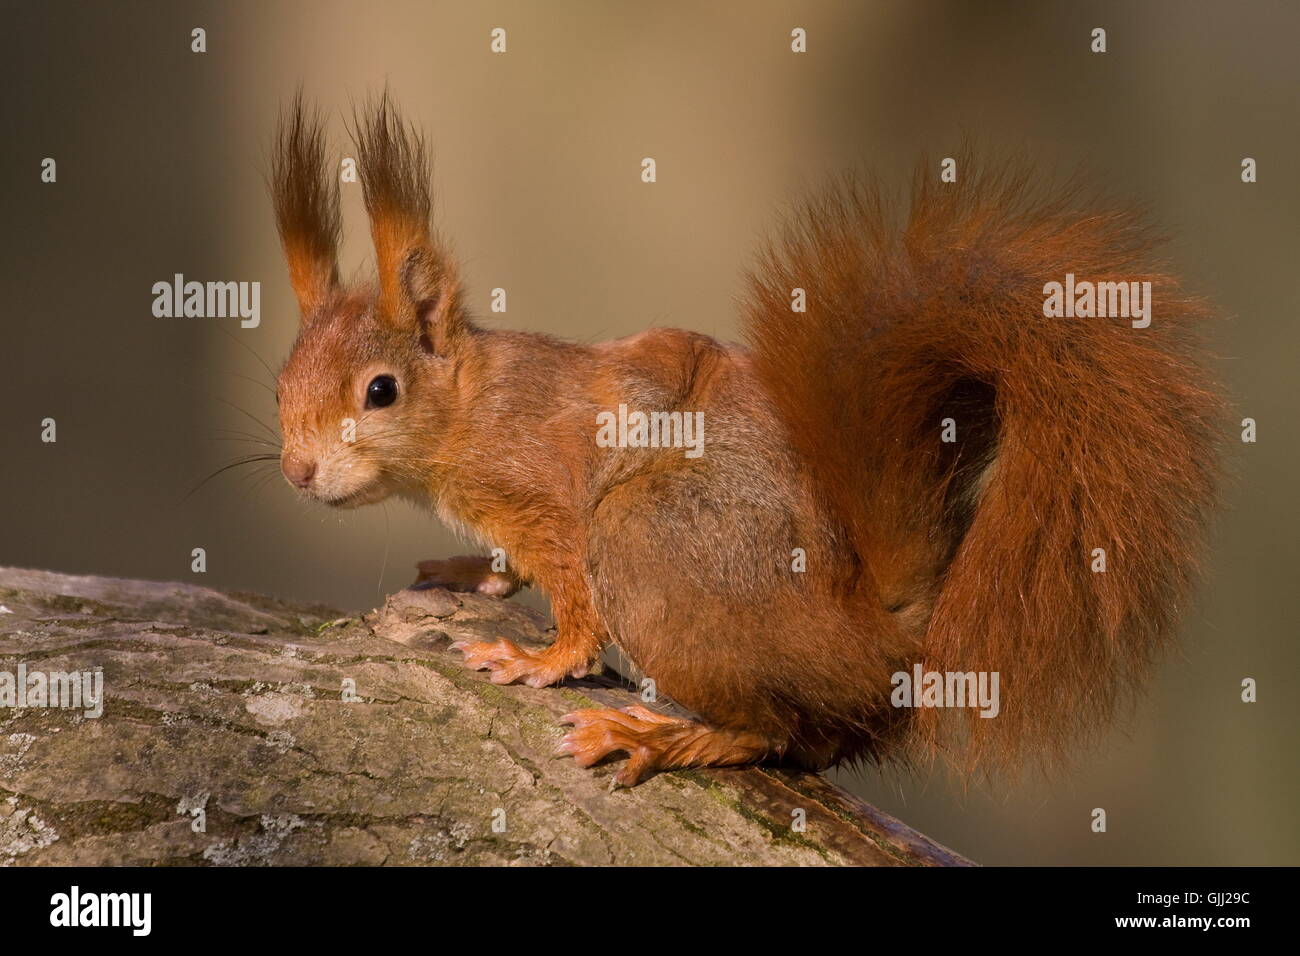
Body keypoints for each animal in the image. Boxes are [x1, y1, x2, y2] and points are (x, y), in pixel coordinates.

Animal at [269, 93, 1223, 788]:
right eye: (278, 386)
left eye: (381, 391)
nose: (298, 472)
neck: (472, 406)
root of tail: (879, 642)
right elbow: (509, 565)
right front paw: (471, 571)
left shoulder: (547, 492)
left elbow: (573, 594)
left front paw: (541, 659)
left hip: (651, 538)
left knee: (769, 731)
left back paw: (655, 738)